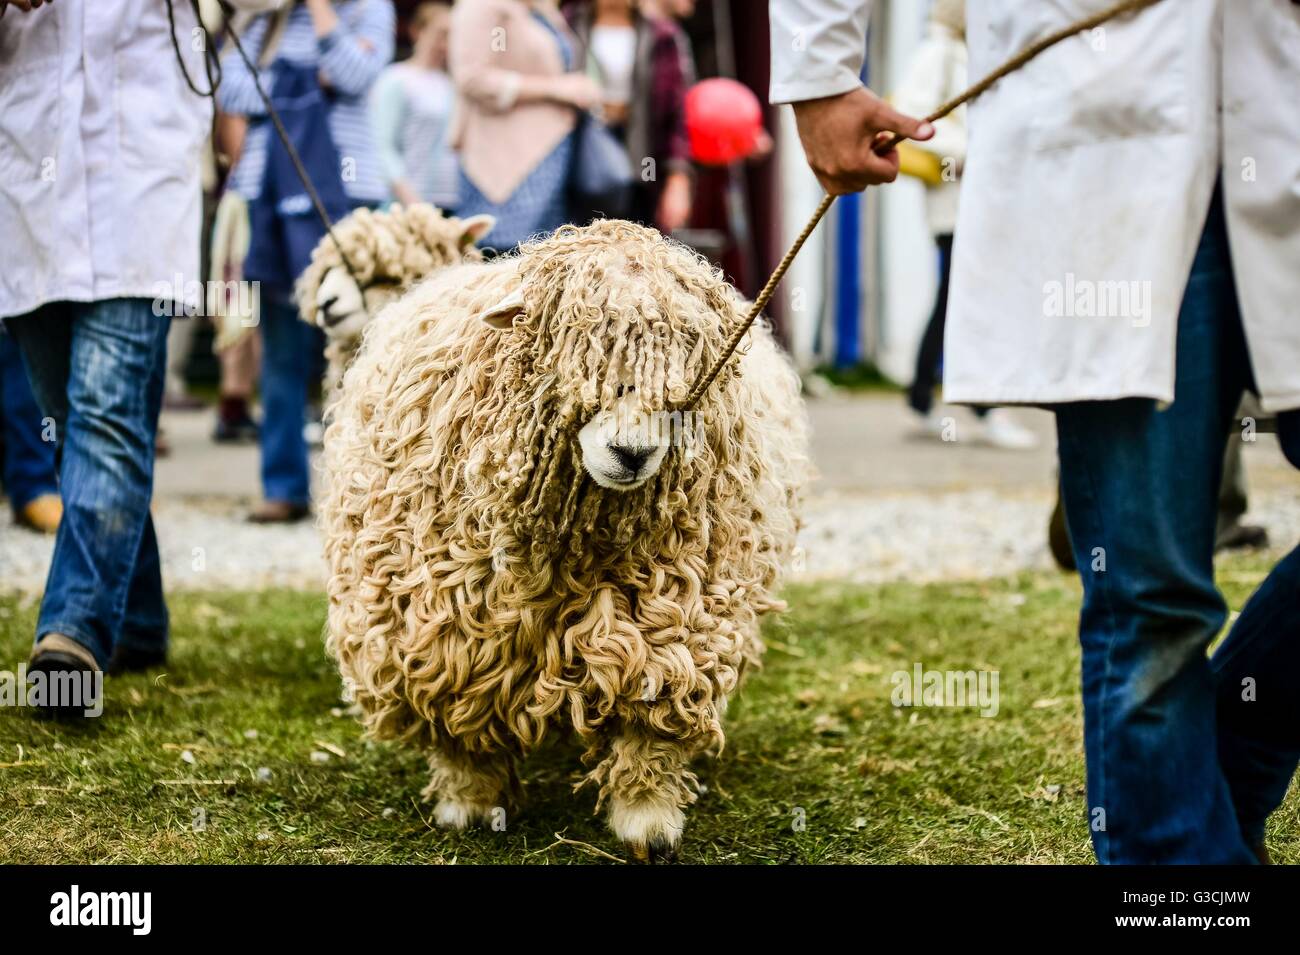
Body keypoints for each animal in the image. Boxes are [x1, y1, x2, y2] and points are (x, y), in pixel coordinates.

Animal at [319, 219, 810, 861]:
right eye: (580, 360)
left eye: (682, 387)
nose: (632, 452)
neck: (570, 545)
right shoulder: (441, 628)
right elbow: (459, 721)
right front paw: (467, 802)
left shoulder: (674, 610)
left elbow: (651, 716)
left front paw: (648, 820)